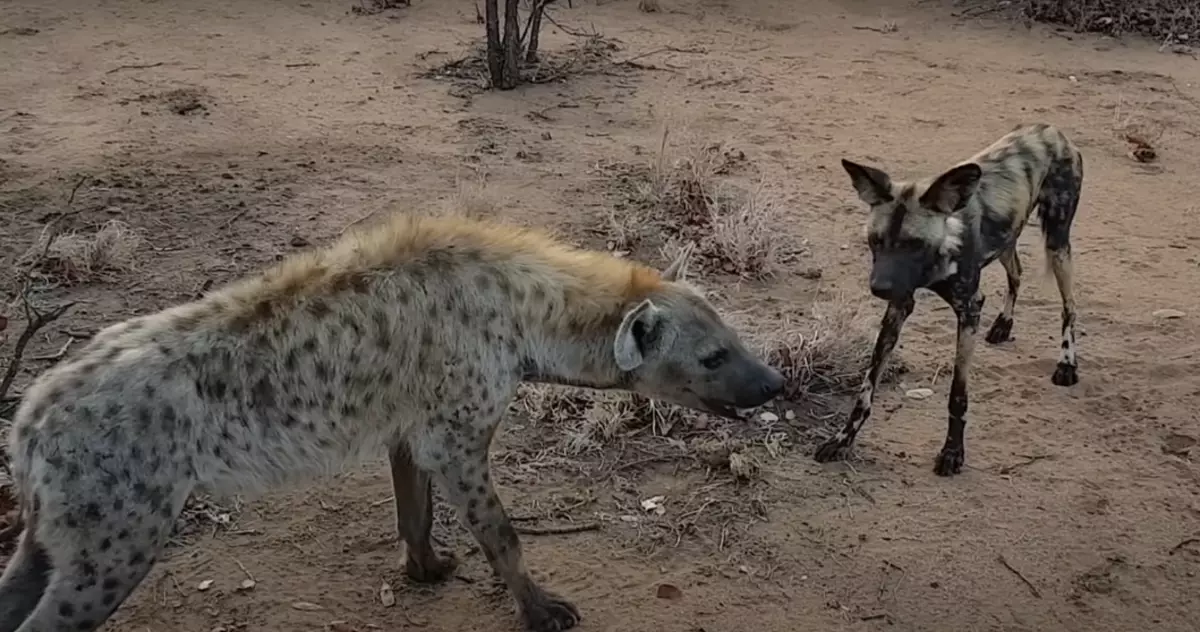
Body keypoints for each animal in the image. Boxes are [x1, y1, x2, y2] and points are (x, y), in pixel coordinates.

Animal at [0, 214, 782, 628]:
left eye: (738, 340)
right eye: (713, 357)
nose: (778, 382)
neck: (520, 316)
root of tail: (29, 416)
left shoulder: (415, 425)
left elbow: (416, 509)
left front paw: (428, 569)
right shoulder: (459, 432)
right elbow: (501, 531)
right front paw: (540, 609)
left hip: (64, 526)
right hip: (121, 533)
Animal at [811, 123, 1084, 477]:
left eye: (913, 244)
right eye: (875, 241)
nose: (879, 287)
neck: (939, 255)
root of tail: (1052, 130)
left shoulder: (968, 311)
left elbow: (958, 395)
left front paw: (953, 453)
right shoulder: (899, 305)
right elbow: (865, 391)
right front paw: (843, 439)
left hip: (1057, 242)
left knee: (1069, 306)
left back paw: (1067, 363)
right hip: (1007, 238)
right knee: (1017, 273)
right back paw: (1004, 325)